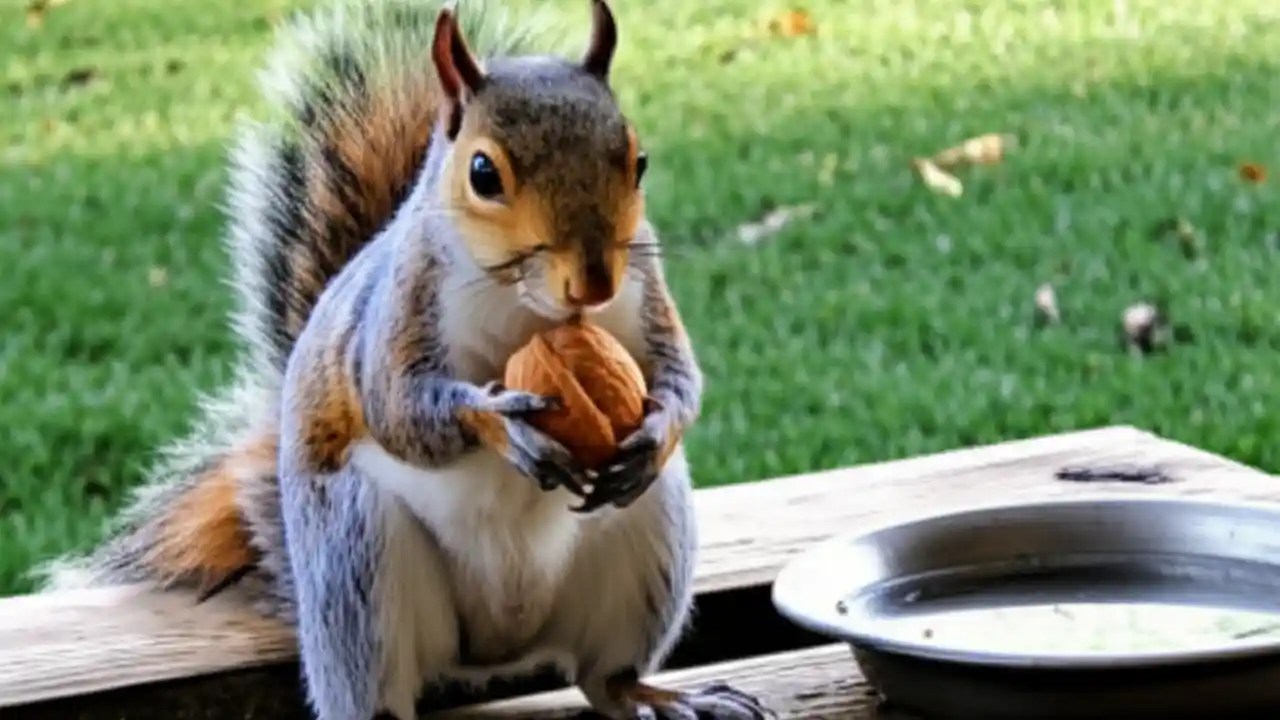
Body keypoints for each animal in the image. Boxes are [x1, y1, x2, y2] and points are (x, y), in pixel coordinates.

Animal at [36, 1, 774, 719]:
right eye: (483, 173)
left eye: (638, 160)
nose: (593, 283)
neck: (529, 305)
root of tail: (495, 653)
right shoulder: (395, 318)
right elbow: (400, 411)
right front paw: (505, 425)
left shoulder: (646, 299)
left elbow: (681, 378)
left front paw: (655, 430)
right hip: (359, 567)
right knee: (376, 688)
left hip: (646, 542)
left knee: (604, 676)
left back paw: (666, 697)